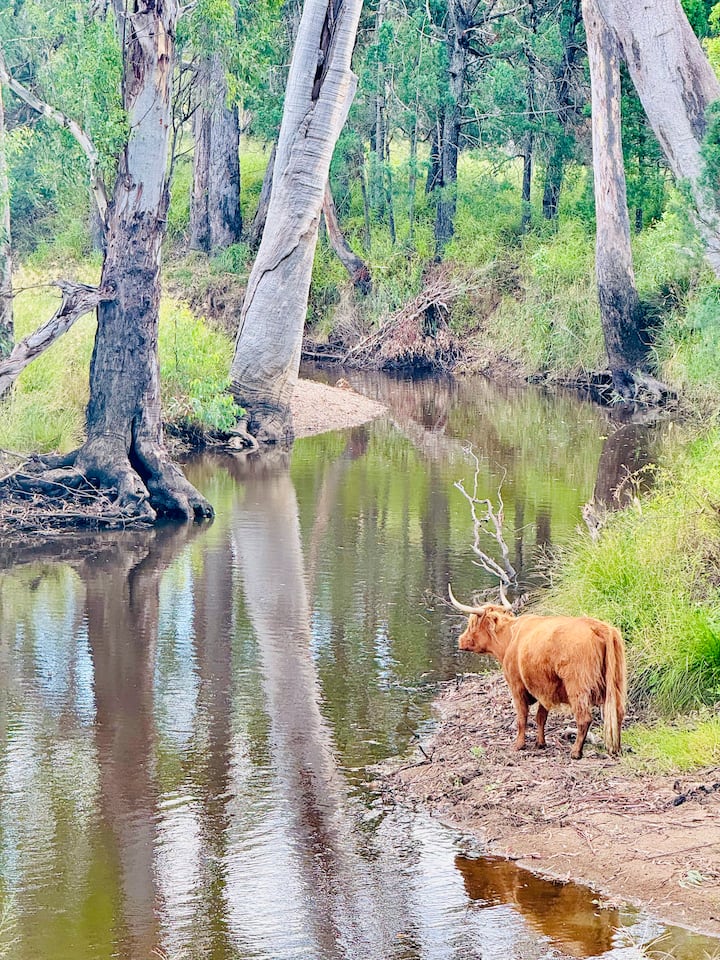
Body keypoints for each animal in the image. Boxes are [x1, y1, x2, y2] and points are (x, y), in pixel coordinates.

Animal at [448, 586, 627, 759]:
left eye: (472, 623)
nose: (460, 640)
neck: (509, 638)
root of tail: (599, 626)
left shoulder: (517, 686)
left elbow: (522, 718)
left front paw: (518, 745)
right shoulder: (543, 688)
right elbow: (541, 717)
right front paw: (540, 743)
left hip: (577, 686)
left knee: (584, 718)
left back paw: (576, 752)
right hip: (616, 682)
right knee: (618, 712)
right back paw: (616, 748)